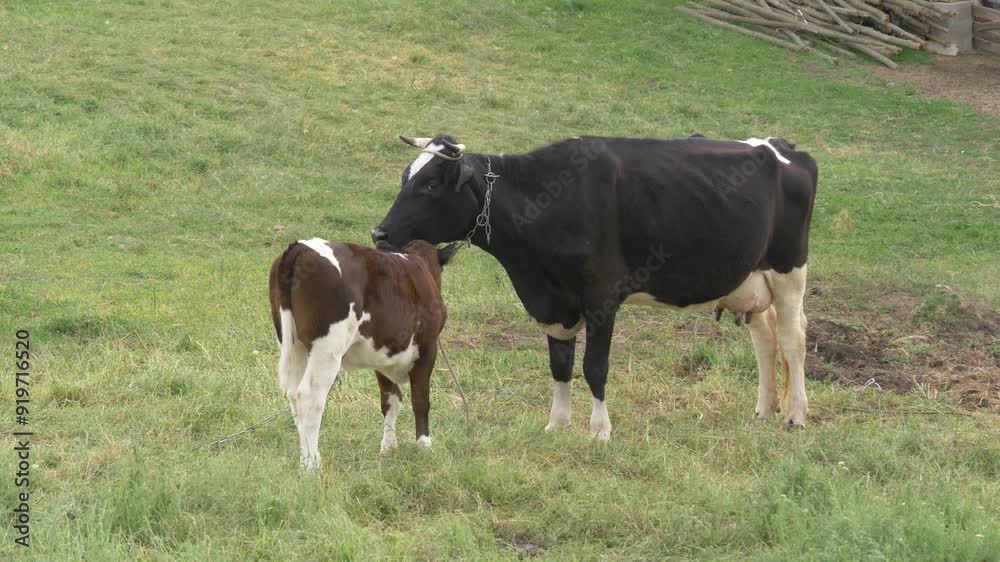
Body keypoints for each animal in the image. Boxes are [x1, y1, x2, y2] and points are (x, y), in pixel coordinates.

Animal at [269, 237, 457, 470]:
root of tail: (300, 247)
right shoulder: (427, 348)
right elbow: (421, 400)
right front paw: (424, 447)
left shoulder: (383, 355)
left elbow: (391, 401)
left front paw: (388, 448)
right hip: (327, 349)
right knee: (309, 397)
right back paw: (312, 466)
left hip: (295, 345)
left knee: (293, 395)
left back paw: (307, 459)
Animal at [371, 133, 817, 439]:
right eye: (405, 178)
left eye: (431, 184)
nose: (379, 234)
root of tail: (781, 146)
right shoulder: (552, 302)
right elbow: (560, 365)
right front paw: (557, 424)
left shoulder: (603, 298)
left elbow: (595, 367)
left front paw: (600, 430)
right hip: (751, 279)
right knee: (766, 338)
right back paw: (764, 409)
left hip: (789, 269)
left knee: (793, 337)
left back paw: (795, 415)